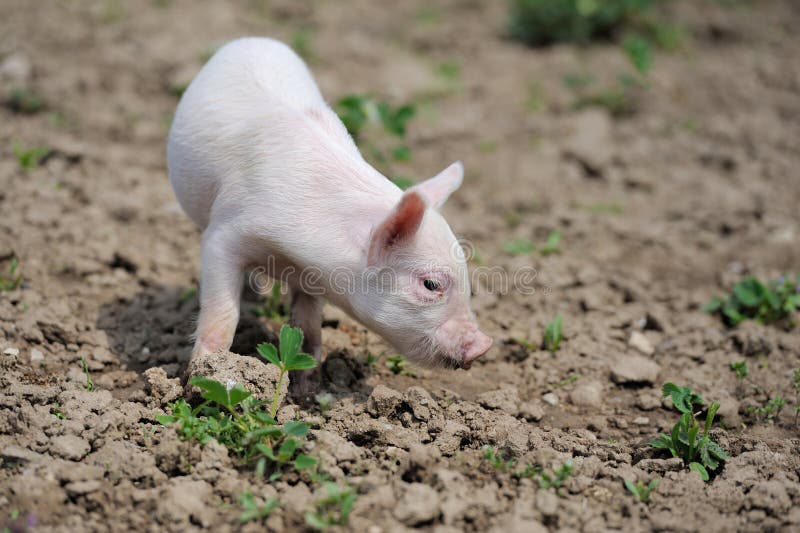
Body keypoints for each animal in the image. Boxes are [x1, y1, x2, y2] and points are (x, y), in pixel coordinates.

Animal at [167, 37, 491, 389]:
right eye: (431, 284)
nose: (484, 345)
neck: (291, 259)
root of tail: (254, 39)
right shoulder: (223, 234)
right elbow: (222, 315)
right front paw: (201, 378)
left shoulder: (313, 279)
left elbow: (307, 326)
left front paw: (309, 381)